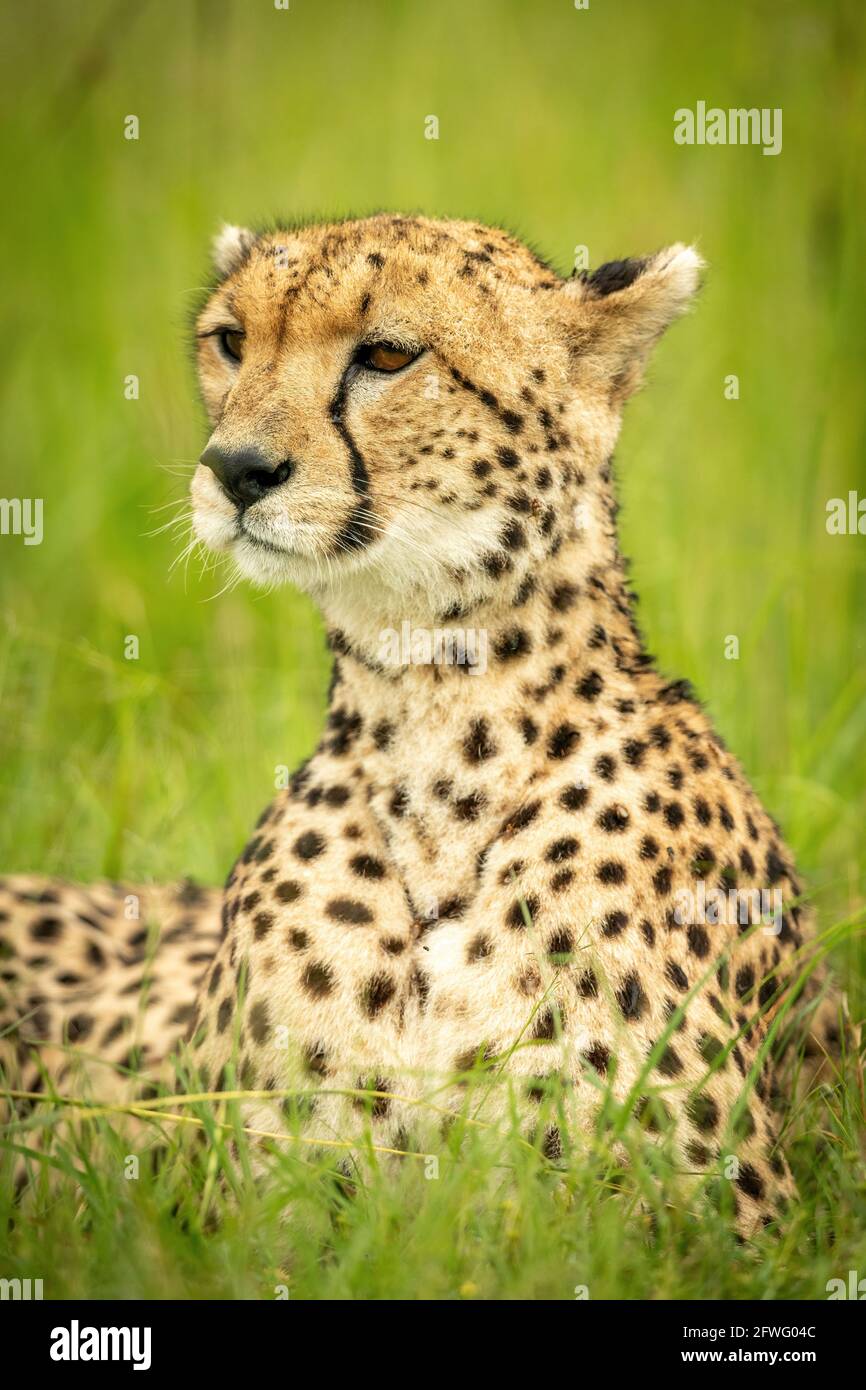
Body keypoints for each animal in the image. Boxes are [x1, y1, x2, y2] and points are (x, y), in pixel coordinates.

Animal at [0, 213, 847, 1233]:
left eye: (389, 355)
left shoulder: (719, 1220)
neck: (439, 737)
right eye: (232, 341)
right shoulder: (250, 1211)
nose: (237, 471)